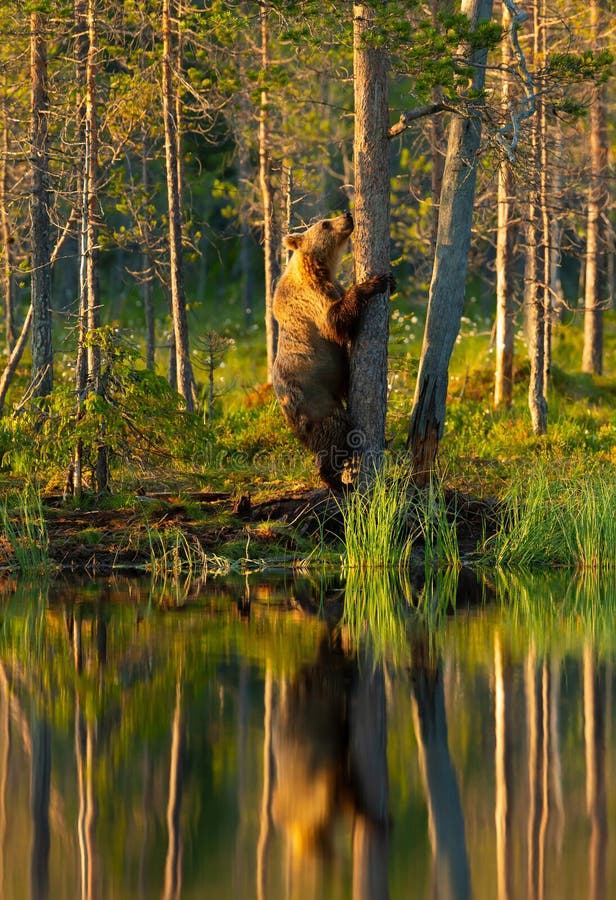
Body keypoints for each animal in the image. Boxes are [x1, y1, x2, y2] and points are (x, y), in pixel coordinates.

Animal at [272, 211, 393, 490]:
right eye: (325, 224)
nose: (347, 214)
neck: (319, 269)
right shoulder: (312, 300)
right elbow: (336, 321)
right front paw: (374, 283)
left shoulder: (330, 286)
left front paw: (392, 280)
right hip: (316, 401)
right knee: (338, 434)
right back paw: (338, 481)